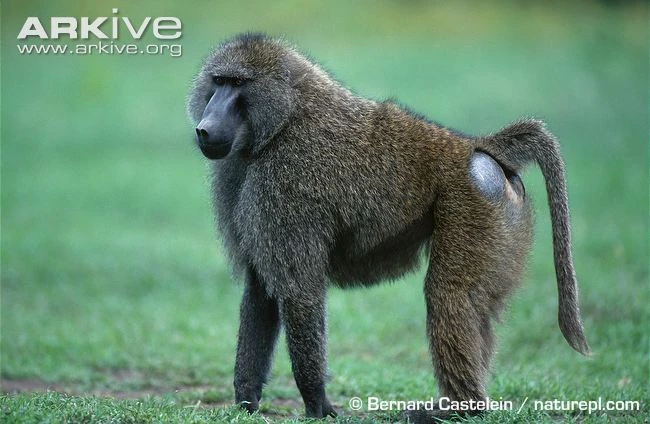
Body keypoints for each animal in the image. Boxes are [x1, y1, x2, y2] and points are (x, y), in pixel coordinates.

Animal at [186, 33, 590, 422]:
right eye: (218, 81)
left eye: (238, 84)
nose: (205, 128)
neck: (283, 119)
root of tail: (476, 147)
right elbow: (261, 290)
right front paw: (246, 402)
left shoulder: (284, 181)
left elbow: (299, 292)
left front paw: (317, 404)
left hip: (476, 206)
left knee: (449, 294)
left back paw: (459, 408)